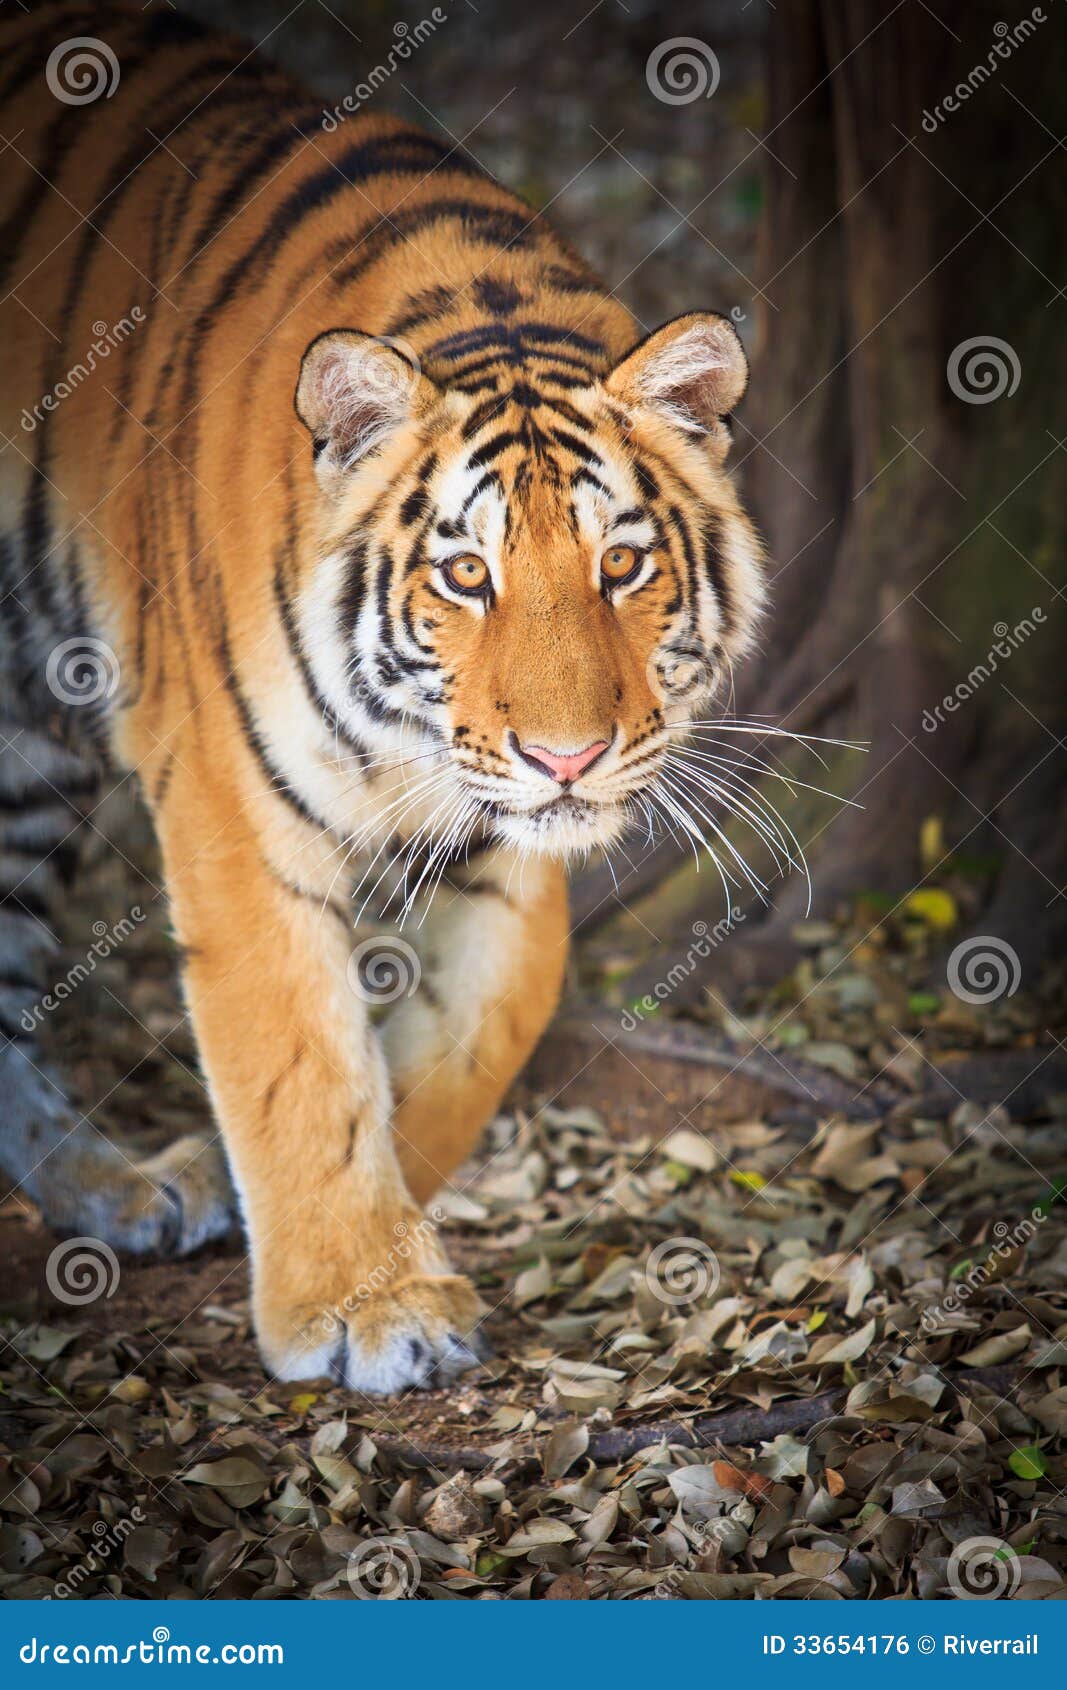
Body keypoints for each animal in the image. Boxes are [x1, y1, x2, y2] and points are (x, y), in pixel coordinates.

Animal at [0, 2, 766, 1392]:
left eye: (620, 564)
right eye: (465, 575)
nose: (568, 759)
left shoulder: (506, 844)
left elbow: (484, 1025)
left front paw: (373, 1213)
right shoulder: (234, 811)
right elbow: (295, 1052)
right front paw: (362, 1299)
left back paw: (117, 1186)